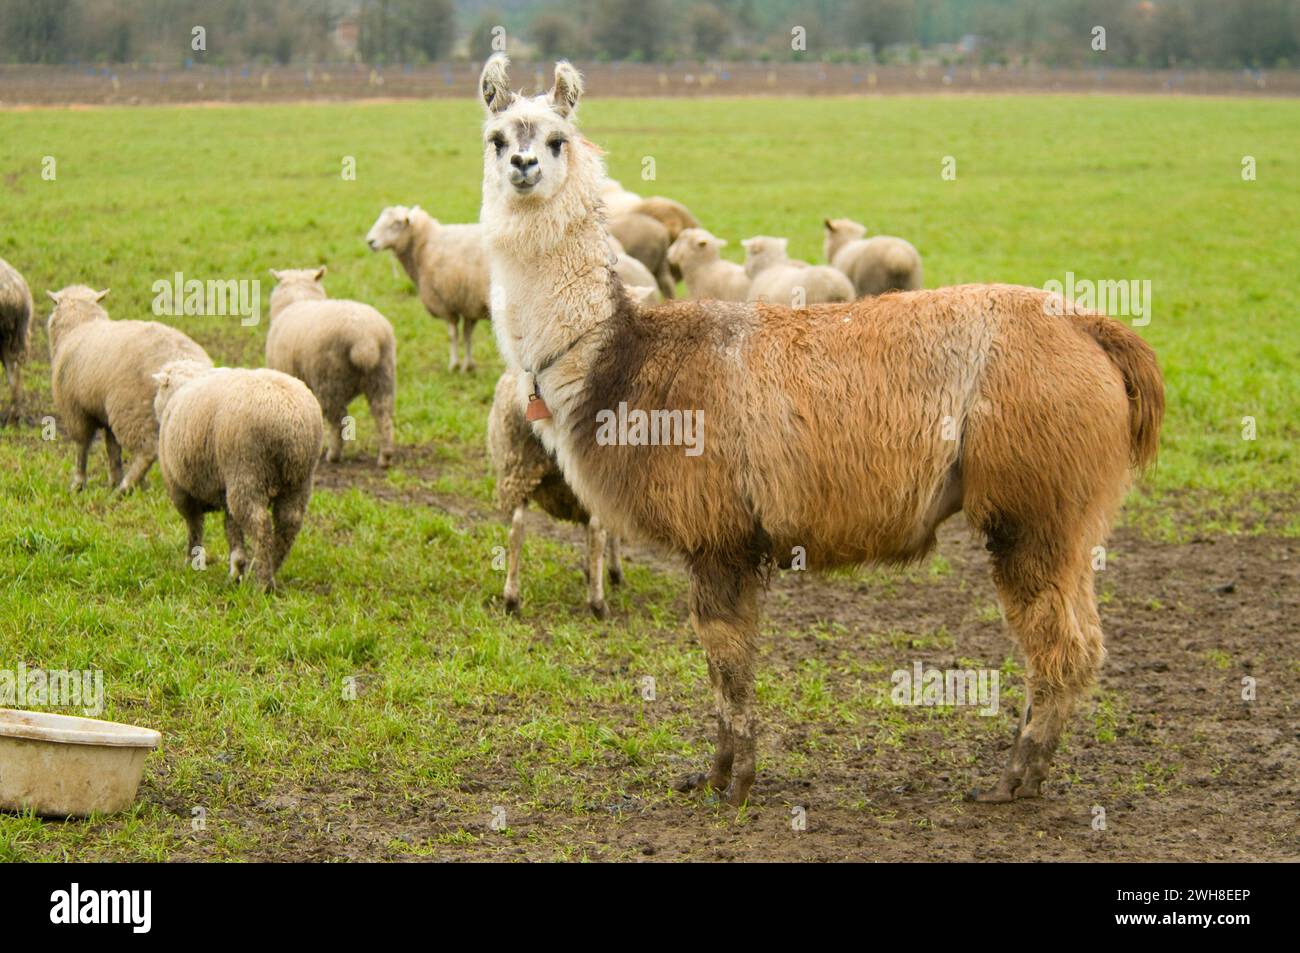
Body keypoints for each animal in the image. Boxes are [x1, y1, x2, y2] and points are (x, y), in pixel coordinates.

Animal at [46, 285, 212, 494]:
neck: (80, 324)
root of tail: (180, 356)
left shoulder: (75, 410)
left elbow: (81, 447)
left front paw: (78, 483)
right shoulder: (104, 415)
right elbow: (112, 449)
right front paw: (113, 478)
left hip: (132, 409)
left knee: (148, 451)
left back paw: (125, 487)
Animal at [153, 359, 323, 592]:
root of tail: (290, 422)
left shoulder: (179, 489)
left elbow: (194, 527)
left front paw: (191, 562)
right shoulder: (224, 489)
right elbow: (231, 528)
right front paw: (236, 569)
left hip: (247, 472)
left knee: (260, 526)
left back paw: (263, 583)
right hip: (299, 481)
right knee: (289, 524)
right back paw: (270, 568)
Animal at [267, 266, 396, 468]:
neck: (299, 298)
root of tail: (364, 339)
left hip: (329, 381)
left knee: (337, 421)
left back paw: (333, 454)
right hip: (382, 378)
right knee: (383, 416)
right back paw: (385, 457)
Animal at [365, 204, 489, 372]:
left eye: (396, 224)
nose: (370, 241)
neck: (424, 245)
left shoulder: (444, 302)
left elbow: (453, 335)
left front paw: (454, 365)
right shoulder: (468, 304)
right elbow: (467, 335)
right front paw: (468, 366)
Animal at [487, 369, 623, 618]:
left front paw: (591, 571)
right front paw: (613, 572)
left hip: (517, 468)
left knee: (516, 531)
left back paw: (511, 600)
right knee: (596, 532)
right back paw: (598, 604)